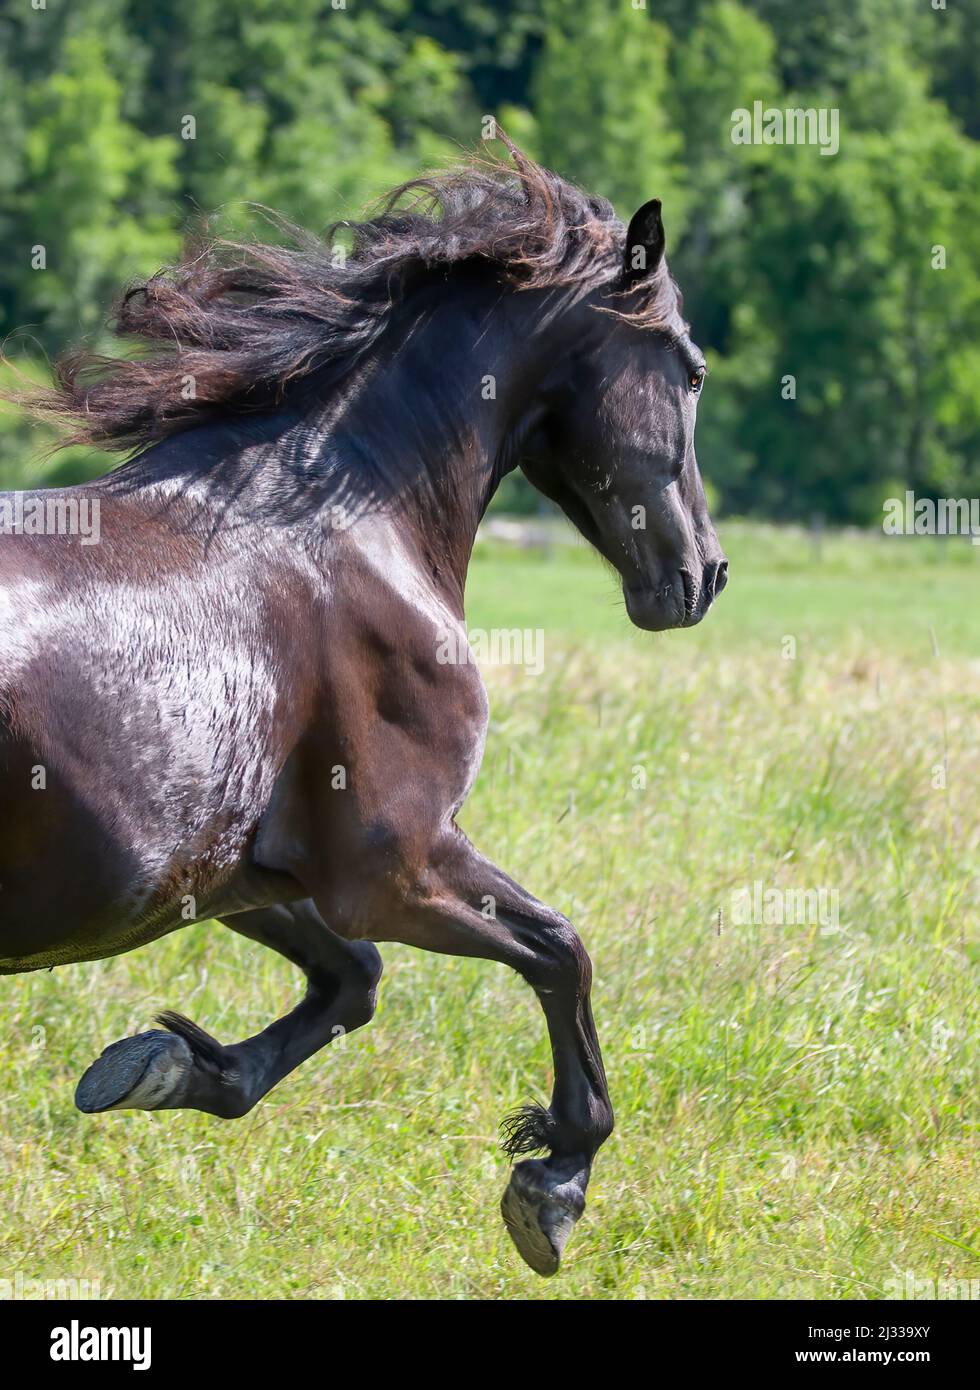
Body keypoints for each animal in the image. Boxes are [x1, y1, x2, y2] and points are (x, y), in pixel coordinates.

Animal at [0, 138, 727, 1276]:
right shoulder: (397, 864)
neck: (347, 520)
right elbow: (561, 950)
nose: (704, 574)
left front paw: (160, 1066)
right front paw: (553, 1183)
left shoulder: (235, 875)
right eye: (690, 368)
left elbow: (352, 982)